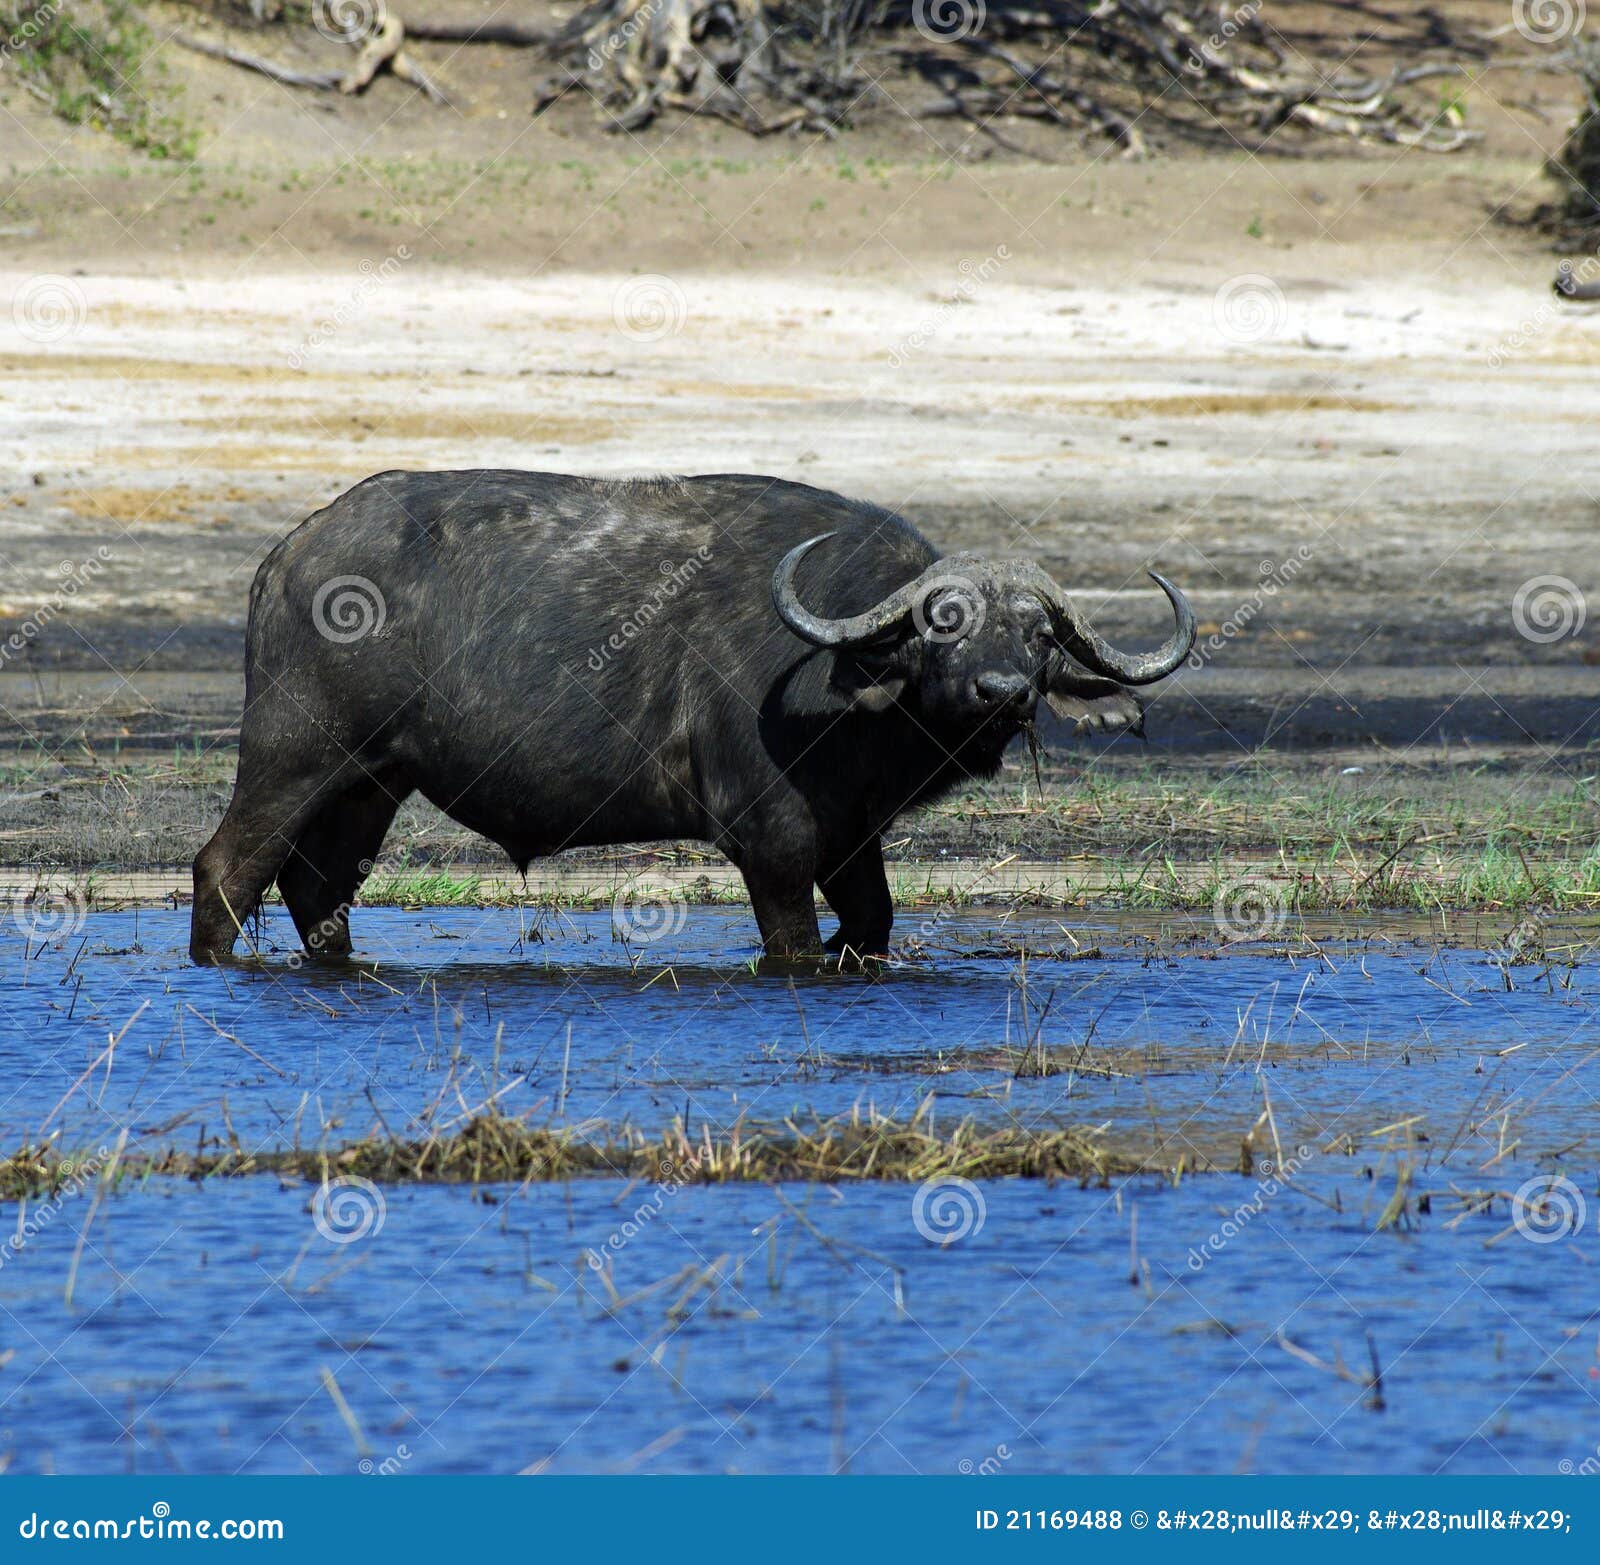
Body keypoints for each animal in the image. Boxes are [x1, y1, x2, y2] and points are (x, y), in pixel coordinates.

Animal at [190, 470, 1195, 962]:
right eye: (943, 621)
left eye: (1039, 634)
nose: (1001, 694)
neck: (843, 688)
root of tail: (288, 554)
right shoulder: (775, 844)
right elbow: (794, 943)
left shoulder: (852, 834)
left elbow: (873, 923)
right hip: (294, 753)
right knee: (228, 870)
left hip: (375, 778)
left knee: (317, 885)